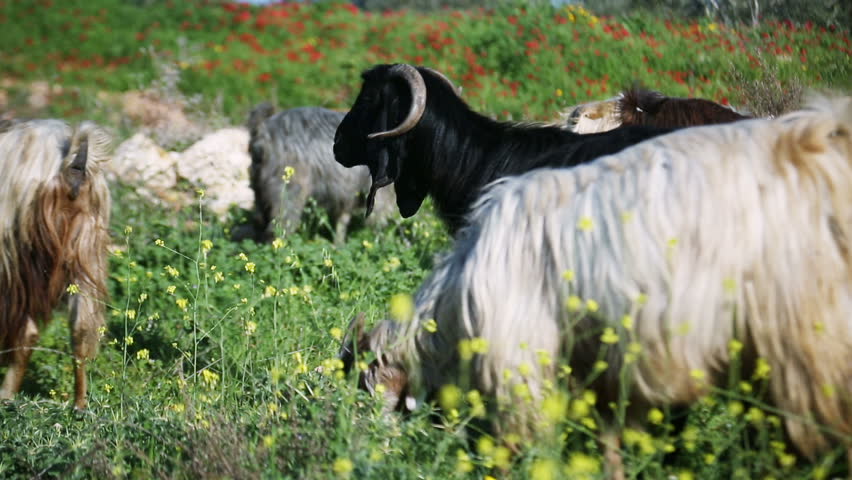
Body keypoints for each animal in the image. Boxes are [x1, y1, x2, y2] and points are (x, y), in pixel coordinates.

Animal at [0, 119, 111, 410]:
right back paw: (79, 405)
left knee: (26, 330)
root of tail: (73, 166)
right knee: (80, 329)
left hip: (19, 258)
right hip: (87, 251)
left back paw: (5, 396)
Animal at [232, 103, 394, 244]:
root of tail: (262, 132)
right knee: (279, 225)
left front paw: (339, 244)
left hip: (259, 188)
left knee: (259, 220)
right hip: (288, 190)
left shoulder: (346, 192)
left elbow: (343, 219)